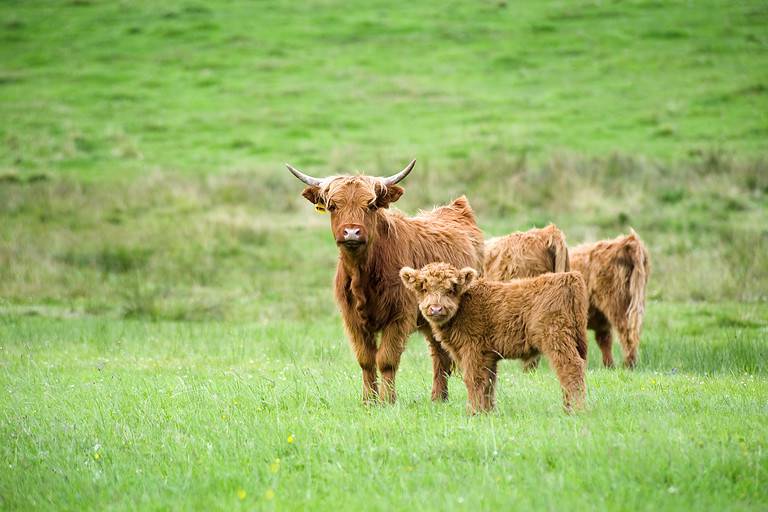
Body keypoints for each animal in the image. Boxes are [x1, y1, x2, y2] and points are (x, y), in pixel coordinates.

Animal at [286, 160, 484, 403]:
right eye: (333, 206)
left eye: (370, 205)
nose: (351, 232)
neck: (363, 276)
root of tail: (455, 208)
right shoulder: (352, 320)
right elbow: (366, 360)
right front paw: (368, 401)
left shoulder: (398, 316)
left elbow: (386, 360)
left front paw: (388, 400)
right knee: (439, 353)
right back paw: (439, 398)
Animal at [400, 263, 588, 414]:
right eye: (424, 288)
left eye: (451, 289)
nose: (436, 309)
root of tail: (566, 277)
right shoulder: (488, 356)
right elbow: (488, 382)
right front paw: (488, 412)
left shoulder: (473, 350)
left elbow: (473, 379)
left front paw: (473, 412)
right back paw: (568, 408)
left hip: (556, 337)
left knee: (570, 368)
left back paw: (577, 409)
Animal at [569, 229, 650, 368]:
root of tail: (627, 242)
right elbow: (604, 340)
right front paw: (609, 366)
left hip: (617, 303)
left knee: (627, 331)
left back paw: (628, 364)